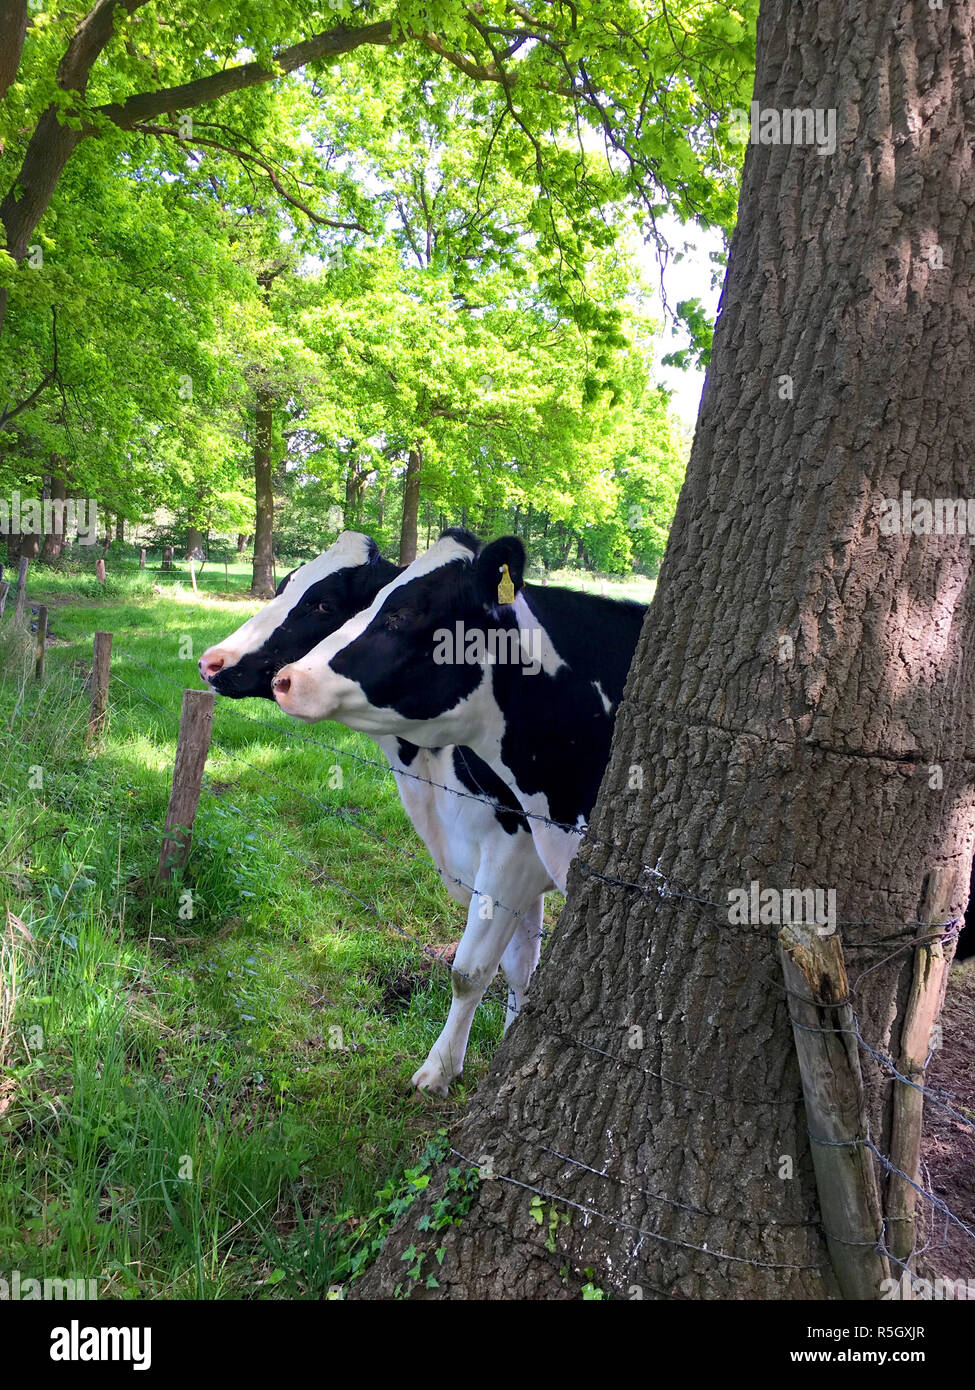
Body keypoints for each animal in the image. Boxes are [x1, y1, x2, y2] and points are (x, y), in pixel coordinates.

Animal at [198, 530, 553, 1095]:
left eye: (325, 604)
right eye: (284, 584)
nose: (211, 662)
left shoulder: (513, 853)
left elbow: (472, 970)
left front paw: (439, 1071)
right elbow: (522, 970)